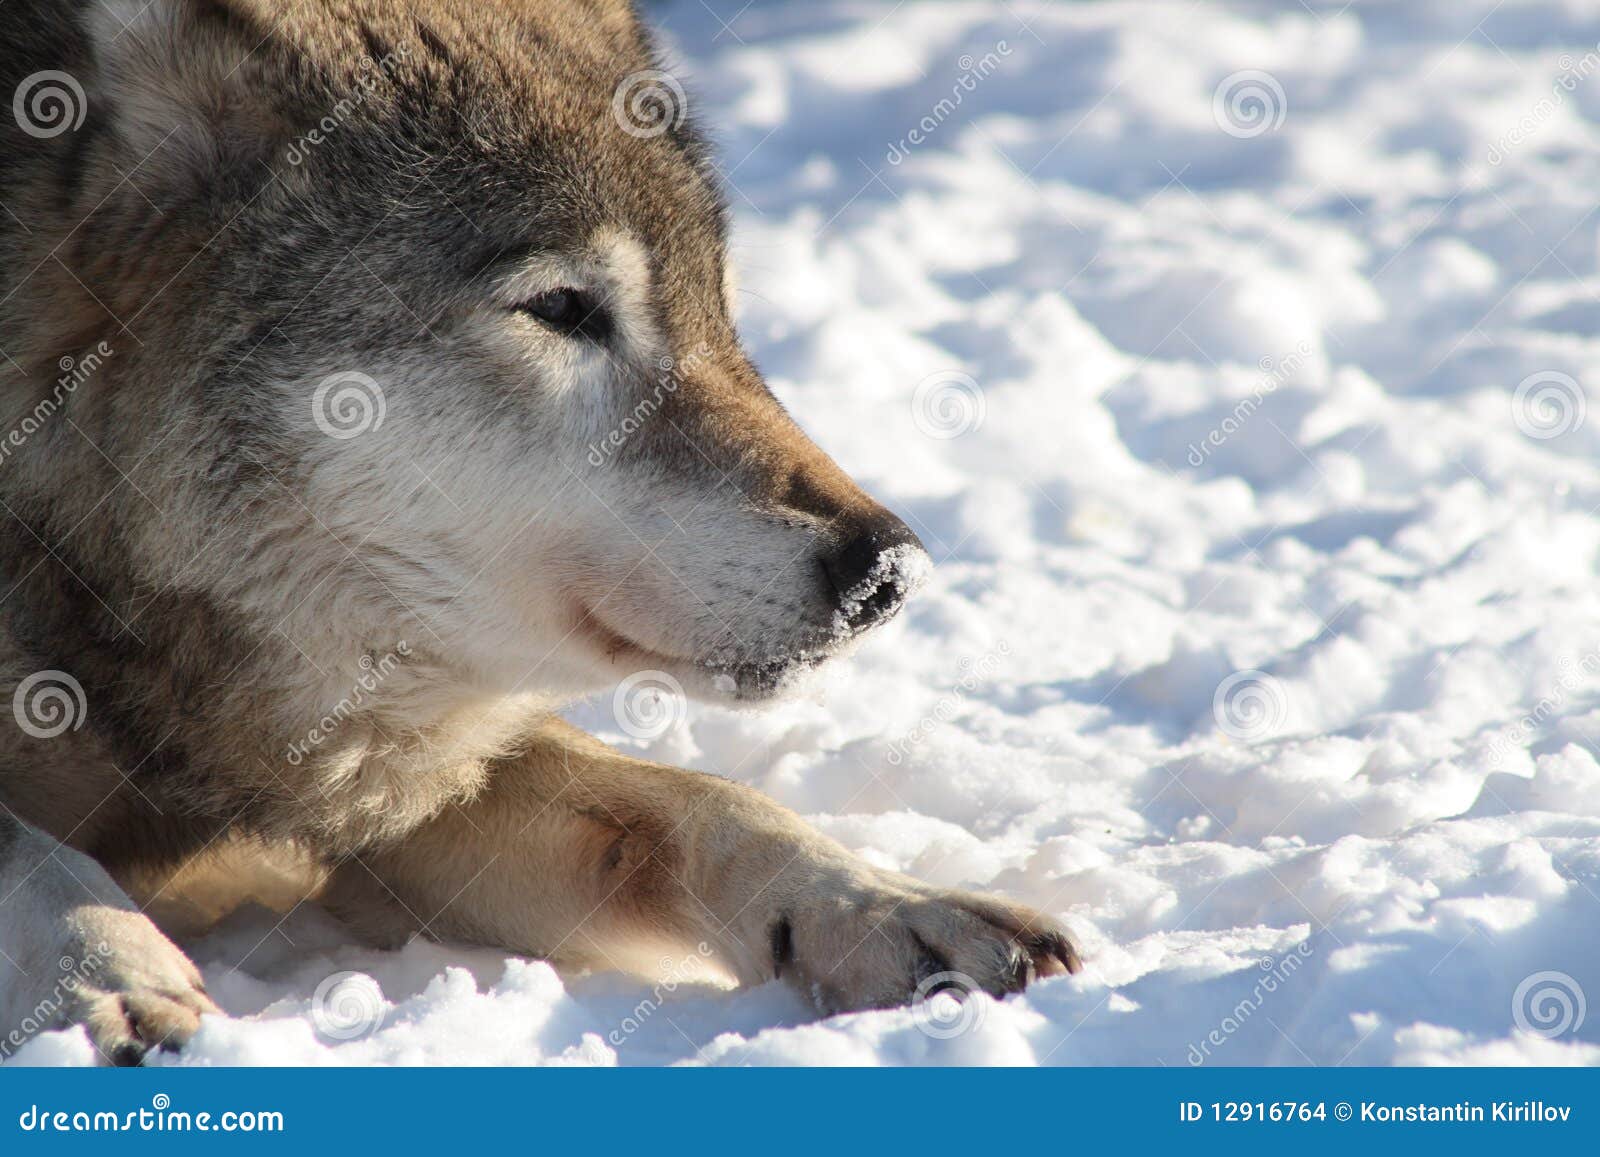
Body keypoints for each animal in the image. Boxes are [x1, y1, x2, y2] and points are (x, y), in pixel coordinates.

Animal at [0, 0, 1079, 1064]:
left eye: (717, 310)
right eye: (561, 307)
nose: (889, 572)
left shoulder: (396, 774)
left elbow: (702, 799)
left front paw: (889, 903)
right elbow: (28, 849)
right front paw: (112, 976)